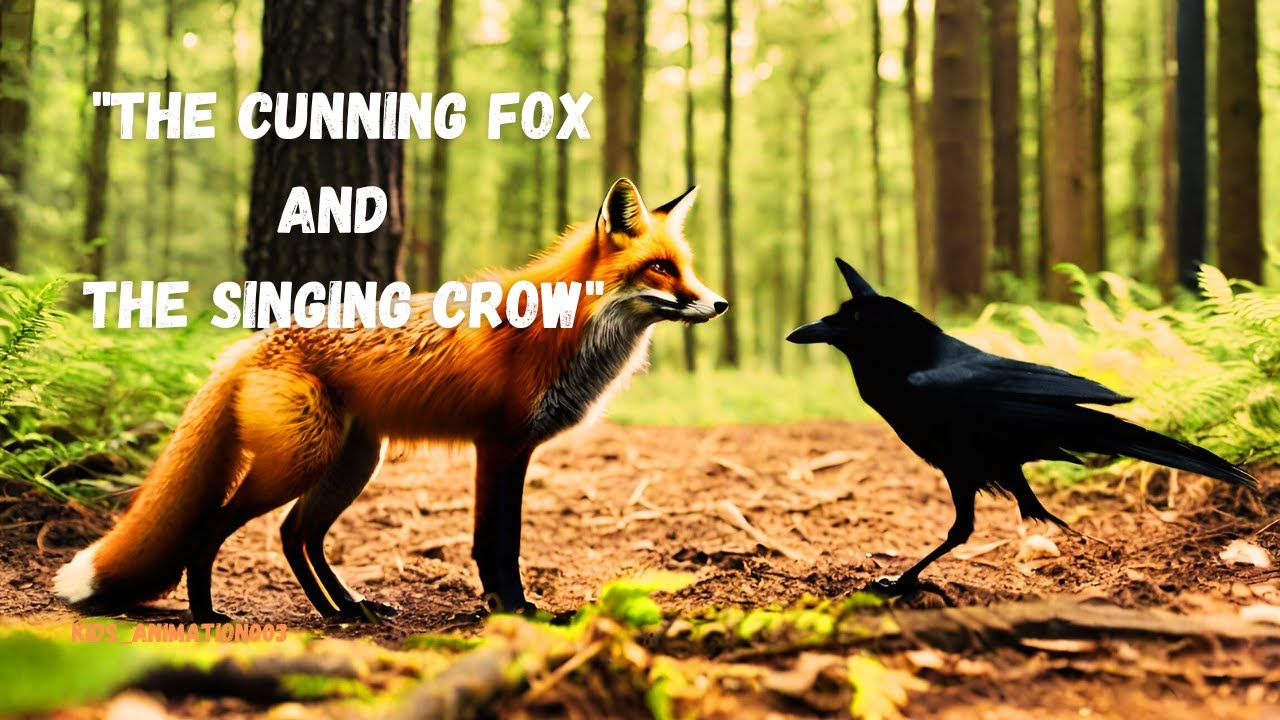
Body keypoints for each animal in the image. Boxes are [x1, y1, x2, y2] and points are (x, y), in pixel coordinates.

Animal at [55, 178, 727, 623]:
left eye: (685, 267)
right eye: (660, 268)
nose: (718, 303)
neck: (564, 327)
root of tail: (248, 344)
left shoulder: (513, 450)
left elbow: (500, 541)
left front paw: (508, 606)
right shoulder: (500, 446)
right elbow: (497, 543)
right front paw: (511, 609)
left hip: (352, 462)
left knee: (296, 534)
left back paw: (343, 610)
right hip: (297, 463)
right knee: (218, 527)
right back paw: (207, 613)